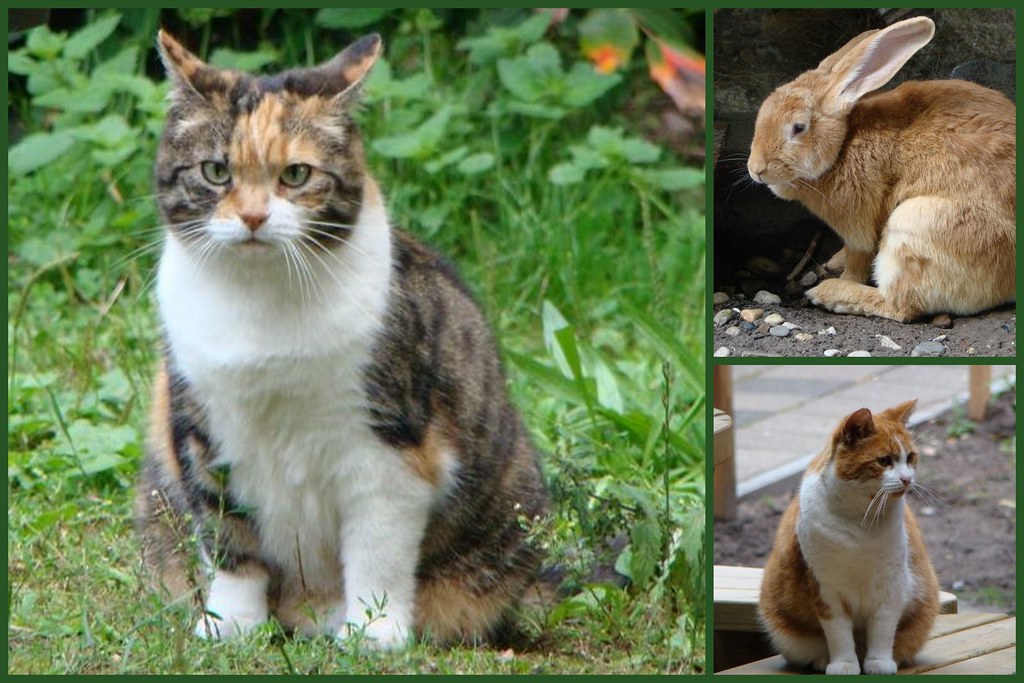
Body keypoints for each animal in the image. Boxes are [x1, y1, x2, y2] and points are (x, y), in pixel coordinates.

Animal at [746, 16, 1016, 323]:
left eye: (798, 128)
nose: (755, 169)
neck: (843, 146)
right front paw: (834, 260)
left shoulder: (858, 228)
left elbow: (858, 259)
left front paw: (844, 276)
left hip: (913, 226)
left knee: (902, 307)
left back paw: (829, 293)